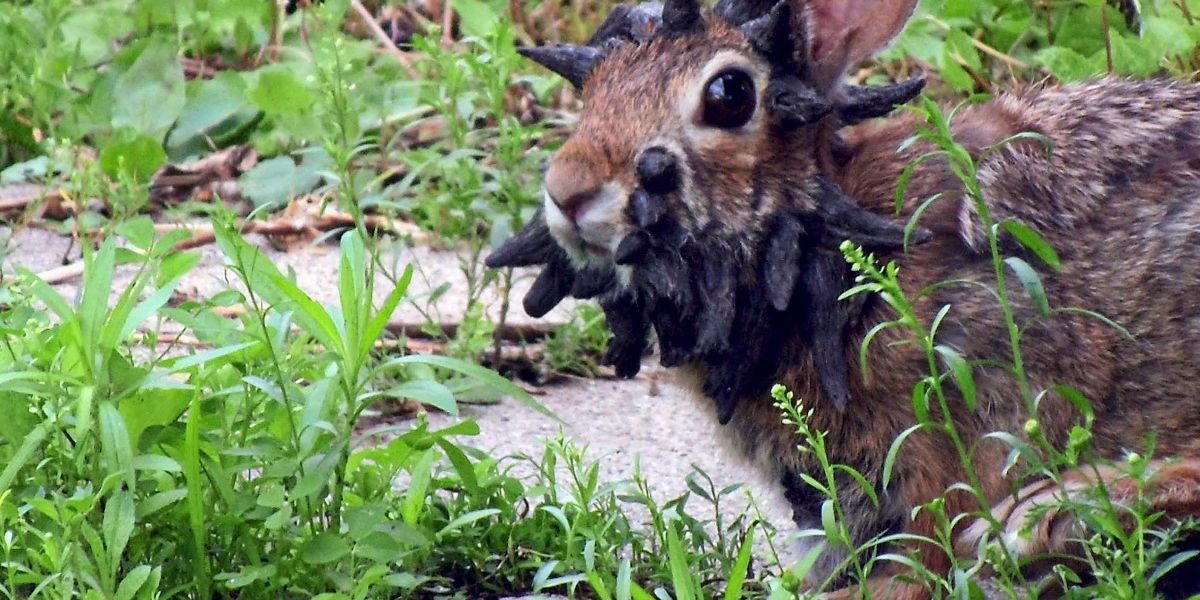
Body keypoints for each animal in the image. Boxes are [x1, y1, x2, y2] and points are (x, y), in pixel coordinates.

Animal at [487, 0, 1200, 597]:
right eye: (594, 87)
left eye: (729, 95)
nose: (568, 189)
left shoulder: (939, 453)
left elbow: (922, 562)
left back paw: (1054, 516)